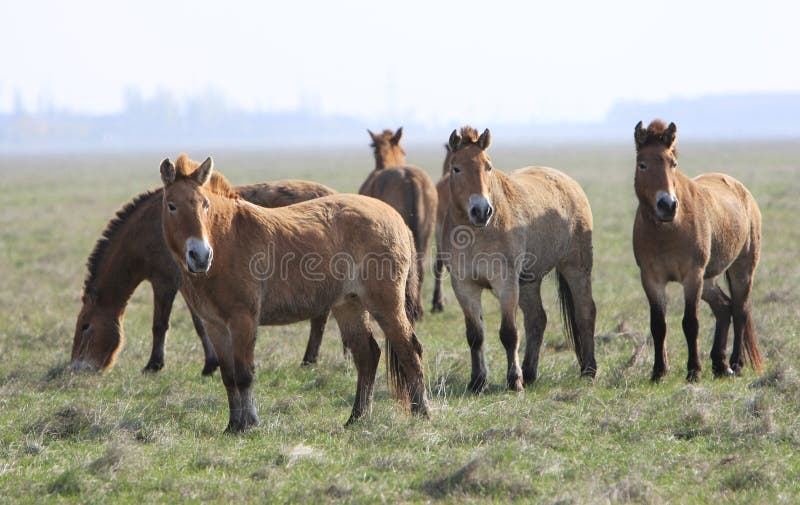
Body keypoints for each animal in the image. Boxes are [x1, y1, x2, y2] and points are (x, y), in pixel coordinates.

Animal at [71, 179, 336, 375]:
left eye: (85, 326)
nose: (76, 367)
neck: (147, 231)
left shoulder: (166, 282)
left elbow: (160, 324)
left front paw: (154, 365)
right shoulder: (191, 284)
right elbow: (200, 324)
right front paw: (211, 364)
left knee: (319, 319)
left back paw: (309, 361)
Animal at [160, 154, 428, 431]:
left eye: (205, 205)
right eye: (172, 205)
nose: (200, 256)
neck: (226, 240)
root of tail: (396, 218)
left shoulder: (243, 321)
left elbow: (244, 375)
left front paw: (249, 424)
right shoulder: (215, 326)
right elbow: (228, 376)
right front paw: (233, 425)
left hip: (386, 305)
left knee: (410, 351)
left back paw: (421, 412)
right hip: (349, 306)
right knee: (367, 356)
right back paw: (356, 417)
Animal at [441, 127, 597, 392]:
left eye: (488, 166)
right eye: (456, 168)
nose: (481, 211)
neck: (477, 234)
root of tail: (567, 181)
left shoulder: (506, 284)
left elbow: (509, 333)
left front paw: (514, 380)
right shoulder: (464, 286)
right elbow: (475, 335)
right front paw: (477, 381)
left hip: (576, 268)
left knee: (585, 312)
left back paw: (589, 370)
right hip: (528, 283)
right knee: (537, 319)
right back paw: (530, 372)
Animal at [632, 120, 763, 381]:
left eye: (673, 163)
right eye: (642, 164)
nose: (667, 205)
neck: (668, 230)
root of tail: (742, 190)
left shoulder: (692, 276)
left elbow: (690, 323)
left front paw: (693, 371)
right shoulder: (651, 279)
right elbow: (658, 325)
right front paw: (658, 372)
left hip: (741, 269)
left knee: (740, 310)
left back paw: (736, 363)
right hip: (708, 279)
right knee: (723, 307)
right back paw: (720, 365)